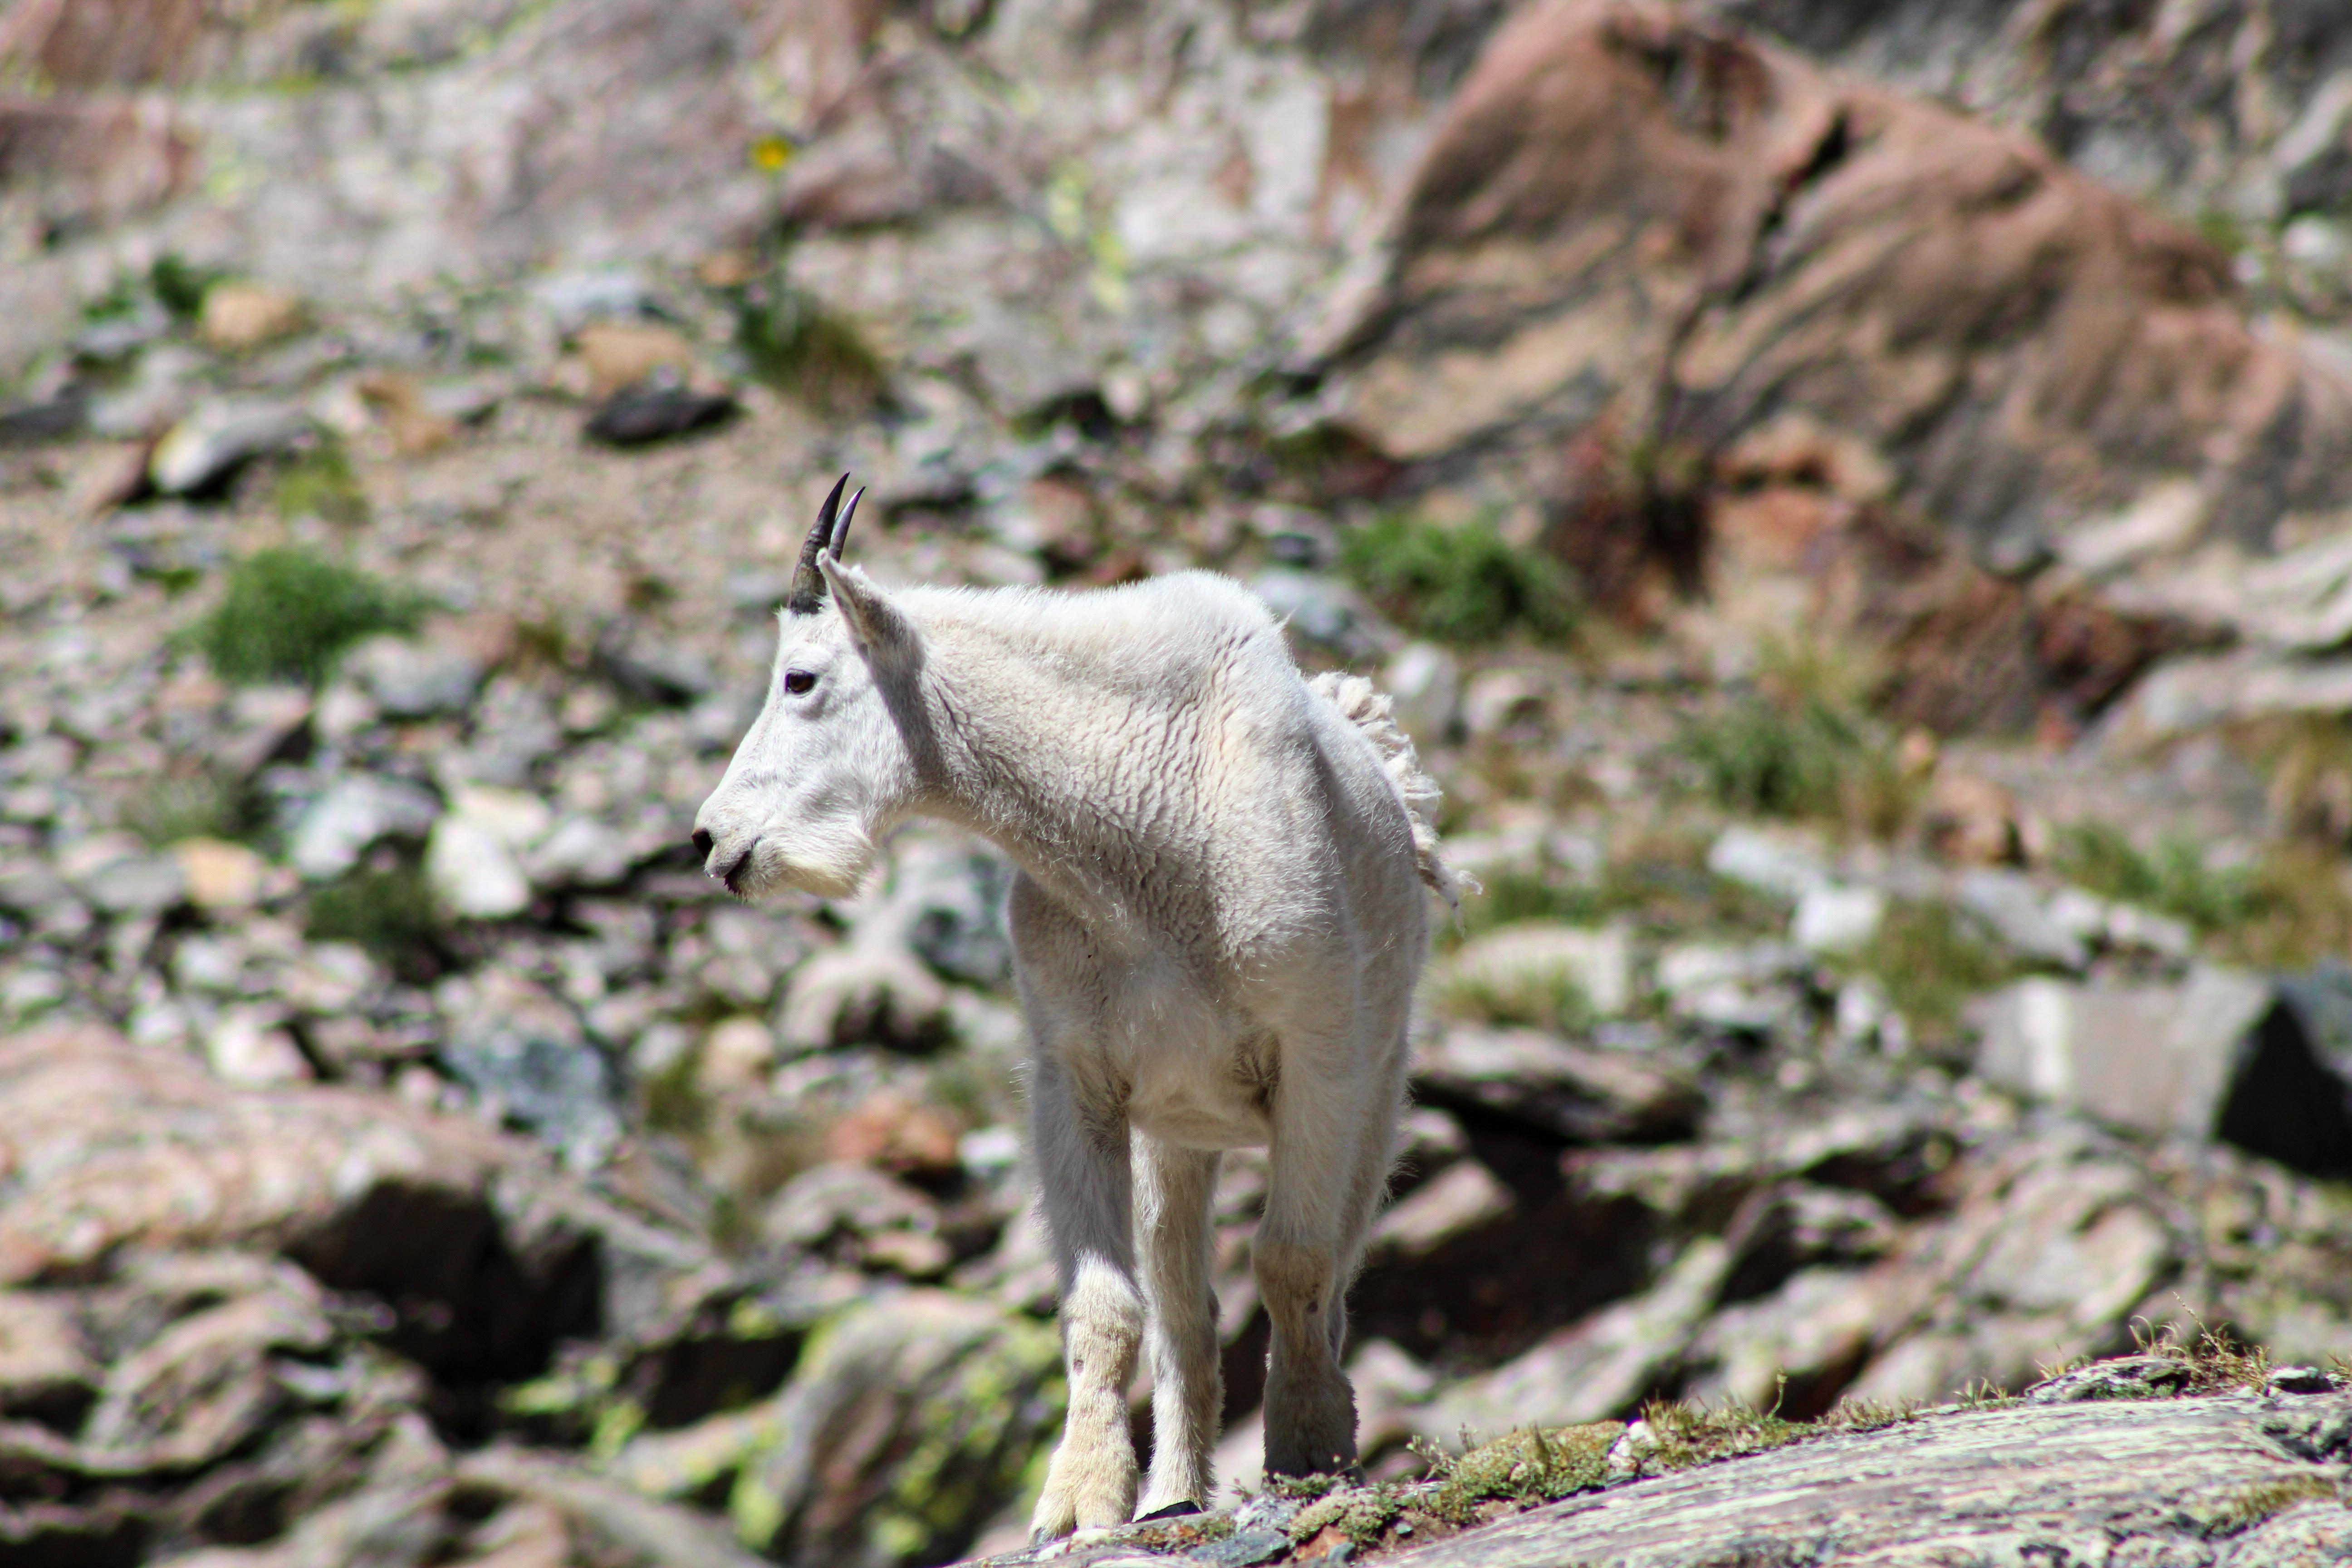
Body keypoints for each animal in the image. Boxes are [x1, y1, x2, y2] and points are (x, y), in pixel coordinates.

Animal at [694, 476, 1457, 1537]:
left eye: (800, 679)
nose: (712, 840)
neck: (1138, 828)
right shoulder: (1077, 1079)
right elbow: (1105, 1307)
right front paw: (1078, 1499)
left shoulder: (1320, 1059)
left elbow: (1293, 1262)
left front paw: (1307, 1449)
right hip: (1179, 1136)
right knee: (1186, 1314)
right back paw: (1177, 1490)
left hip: (1375, 1096)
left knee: (1333, 1272)